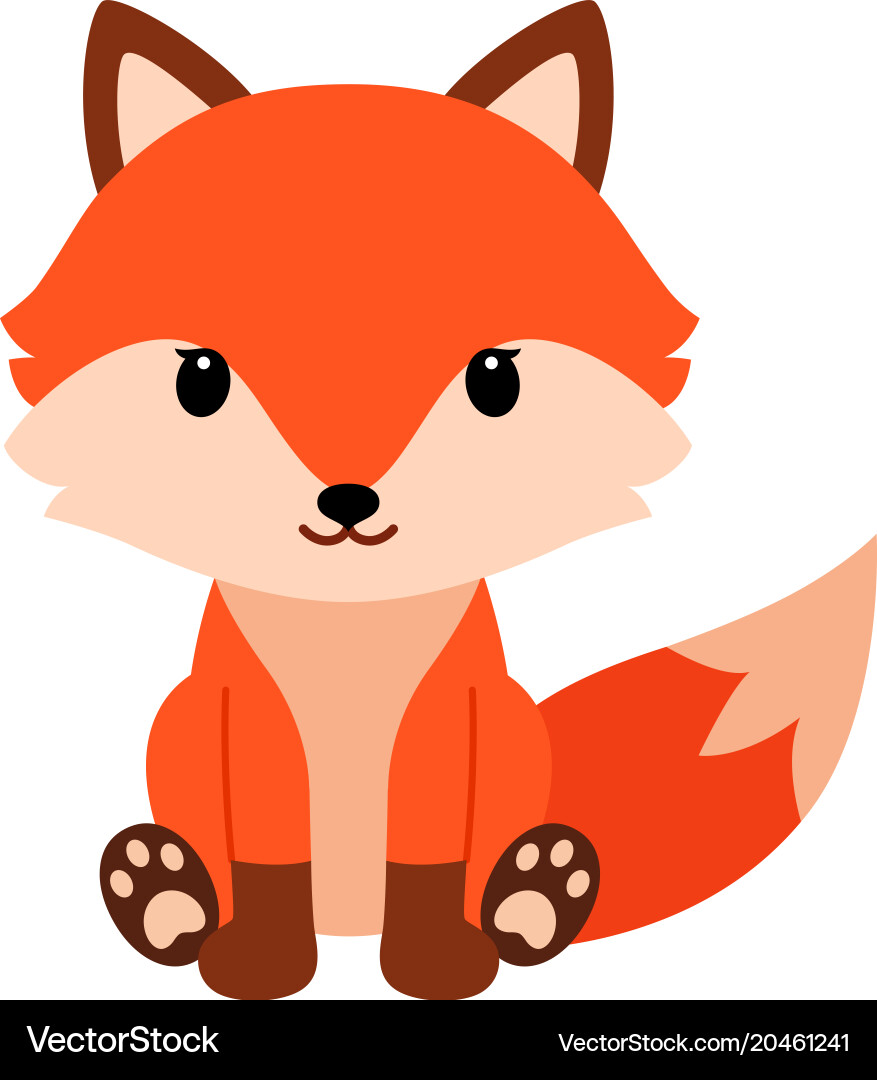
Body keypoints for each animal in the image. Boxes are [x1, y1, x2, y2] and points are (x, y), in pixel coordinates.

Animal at [3, 0, 875, 1001]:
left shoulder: (446, 721)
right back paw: (166, 894)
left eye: (494, 380)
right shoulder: (250, 723)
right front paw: (260, 961)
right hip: (179, 723)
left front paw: (435, 963)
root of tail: (346, 923)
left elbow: (426, 862)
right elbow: (268, 860)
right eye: (201, 380)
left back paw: (533, 896)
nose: (346, 498)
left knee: (506, 869)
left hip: (510, 731)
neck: (350, 636)